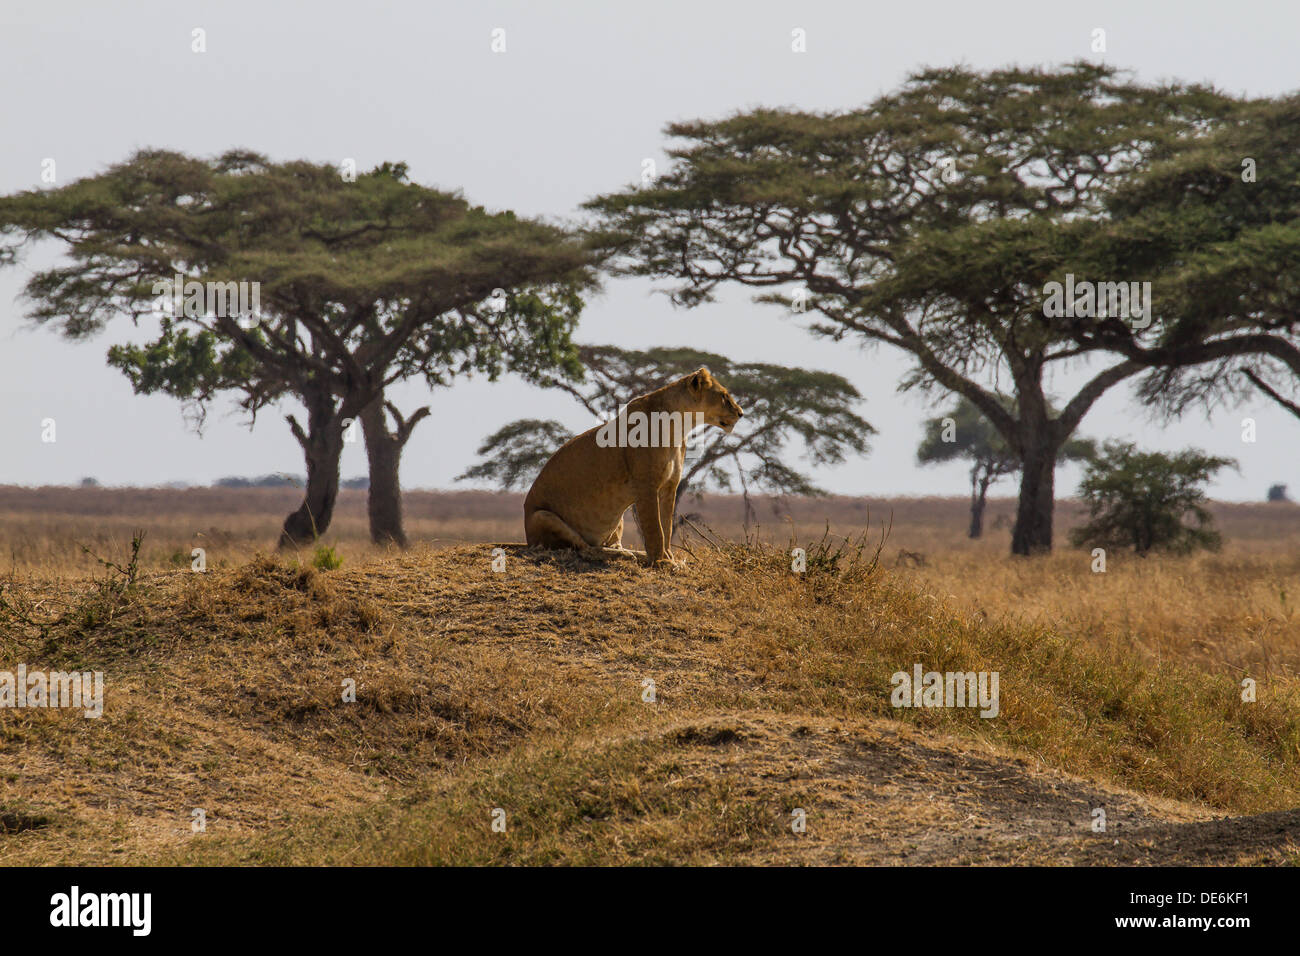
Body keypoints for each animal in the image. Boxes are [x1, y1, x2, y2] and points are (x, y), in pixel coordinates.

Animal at [524, 367, 744, 566]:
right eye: (724, 396)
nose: (741, 413)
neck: (679, 426)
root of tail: (527, 537)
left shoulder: (669, 487)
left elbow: (666, 525)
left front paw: (668, 557)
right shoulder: (646, 485)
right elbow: (655, 528)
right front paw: (661, 561)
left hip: (618, 520)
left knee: (608, 544)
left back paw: (633, 553)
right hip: (542, 516)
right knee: (585, 549)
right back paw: (625, 555)